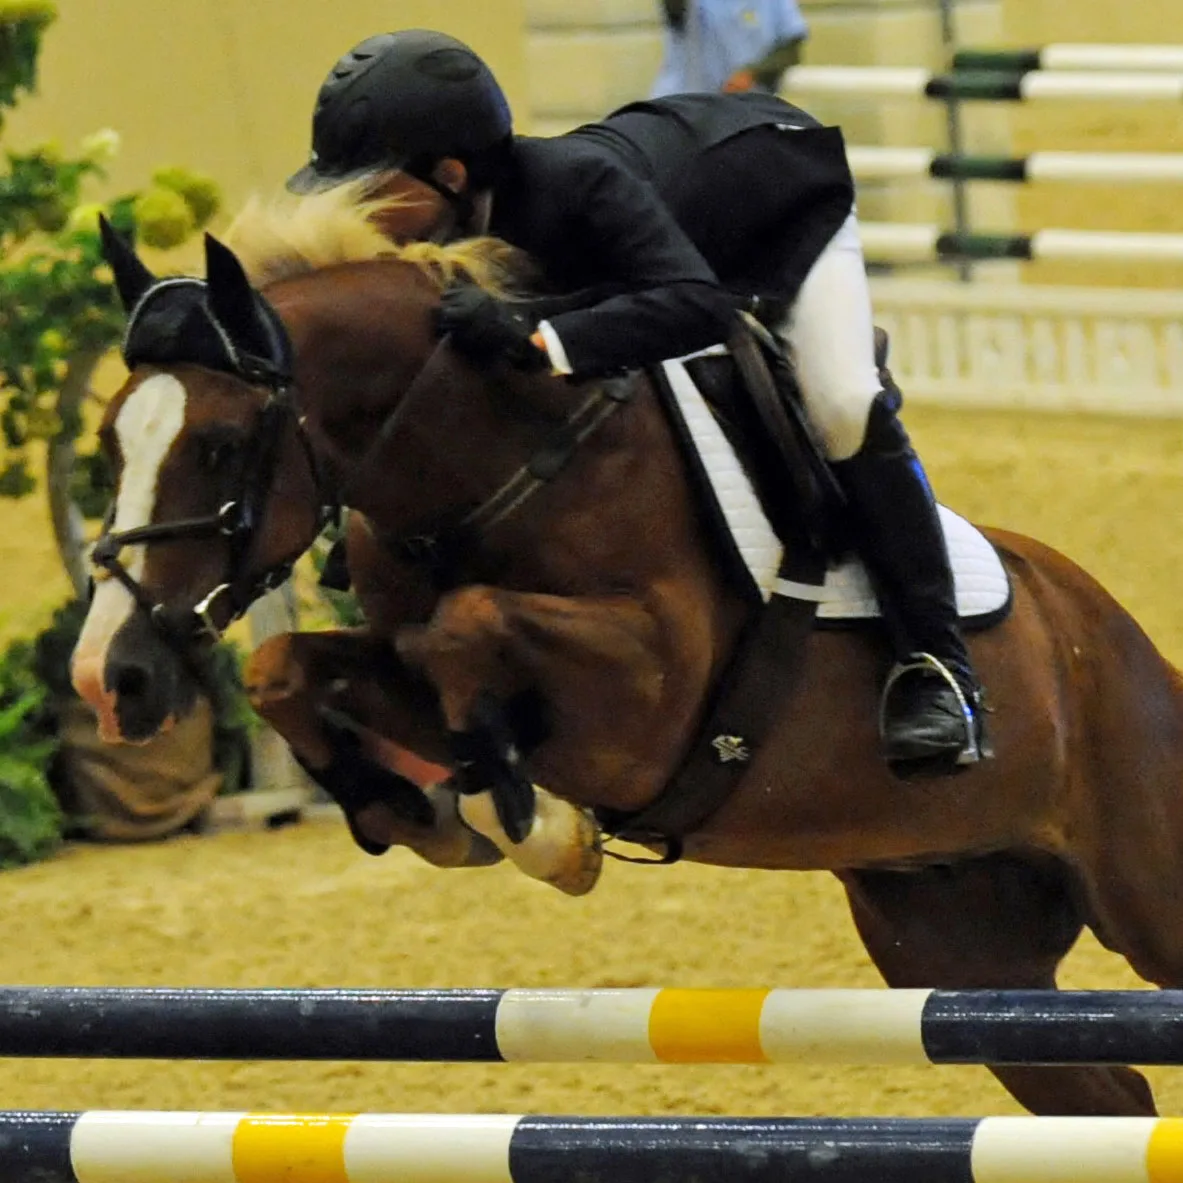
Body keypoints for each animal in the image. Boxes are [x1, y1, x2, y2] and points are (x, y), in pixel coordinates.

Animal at [69, 186, 1183, 1118]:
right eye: (113, 445)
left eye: (218, 446)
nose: (109, 675)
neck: (503, 461)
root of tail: (1119, 644)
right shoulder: (401, 658)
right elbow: (295, 668)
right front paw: (414, 809)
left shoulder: (647, 698)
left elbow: (467, 625)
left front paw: (530, 821)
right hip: (953, 940)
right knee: (1108, 1093)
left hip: (1139, 894)